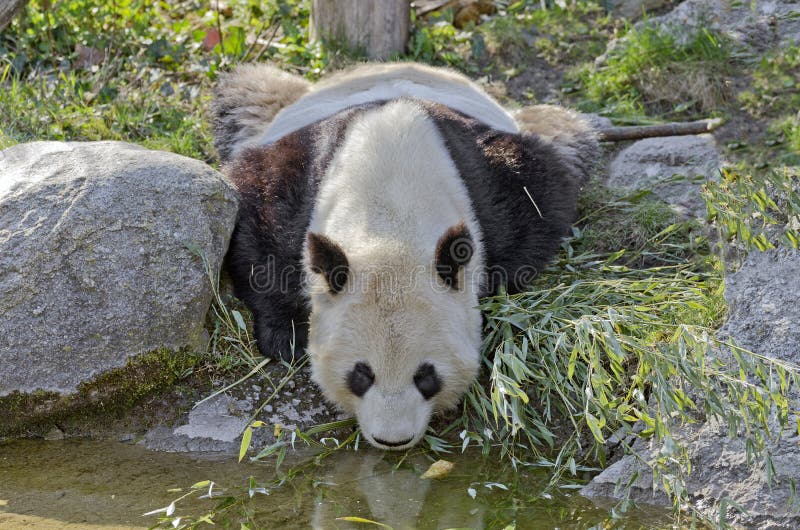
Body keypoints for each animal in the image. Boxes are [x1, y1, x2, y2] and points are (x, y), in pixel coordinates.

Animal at [211, 62, 599, 451]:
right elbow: (257, 234)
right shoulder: (294, 186)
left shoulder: (499, 190)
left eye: (426, 376)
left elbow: (537, 213)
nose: (392, 439)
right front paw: (285, 336)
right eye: (361, 374)